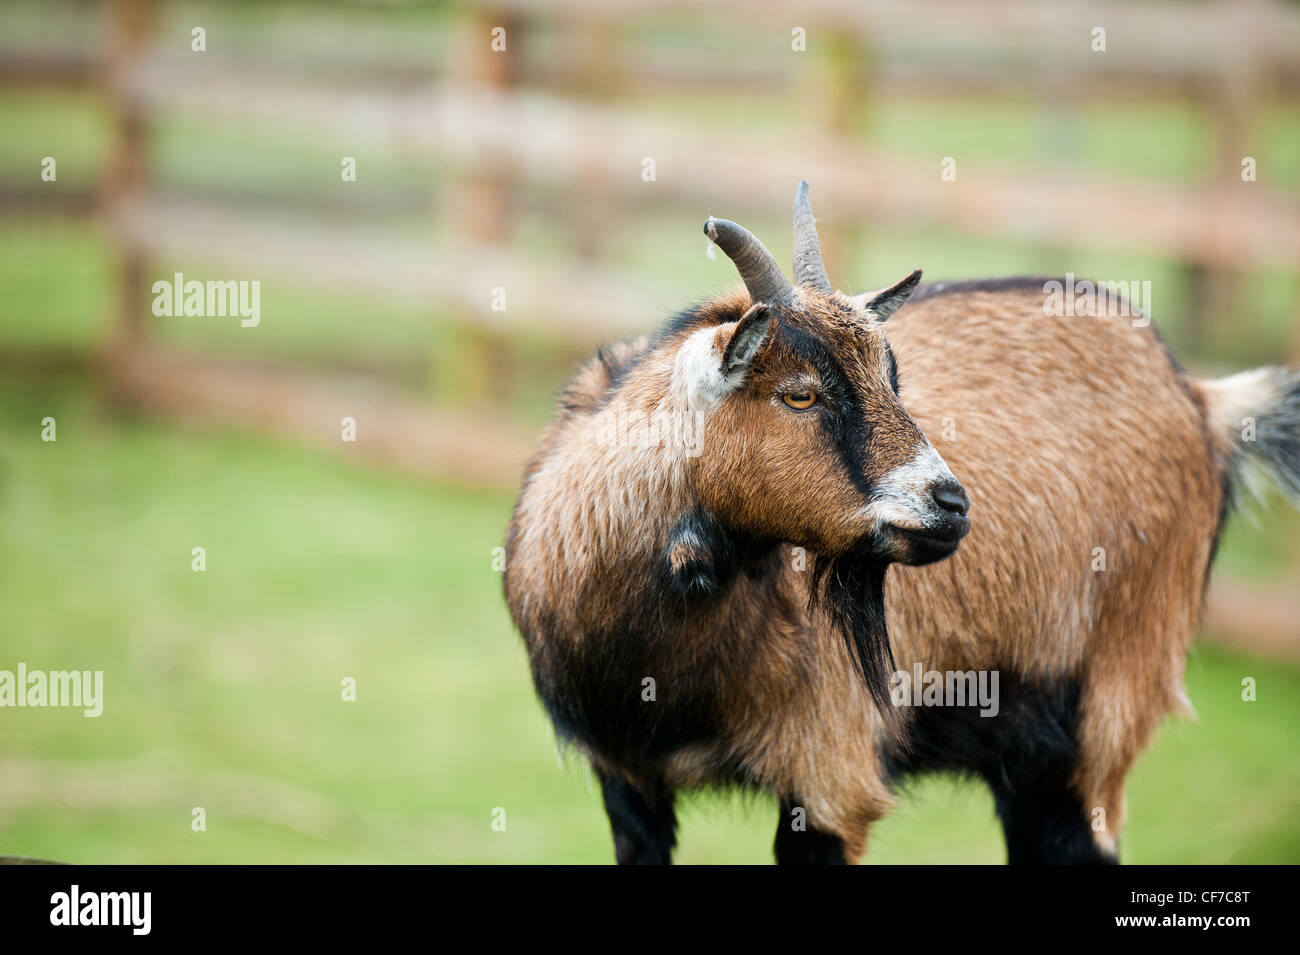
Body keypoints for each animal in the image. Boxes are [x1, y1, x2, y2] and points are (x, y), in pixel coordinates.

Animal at [503, 181, 1300, 864]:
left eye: (892, 376)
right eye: (800, 393)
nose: (951, 505)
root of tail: (1202, 398)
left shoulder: (830, 775)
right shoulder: (626, 781)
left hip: (1108, 709)